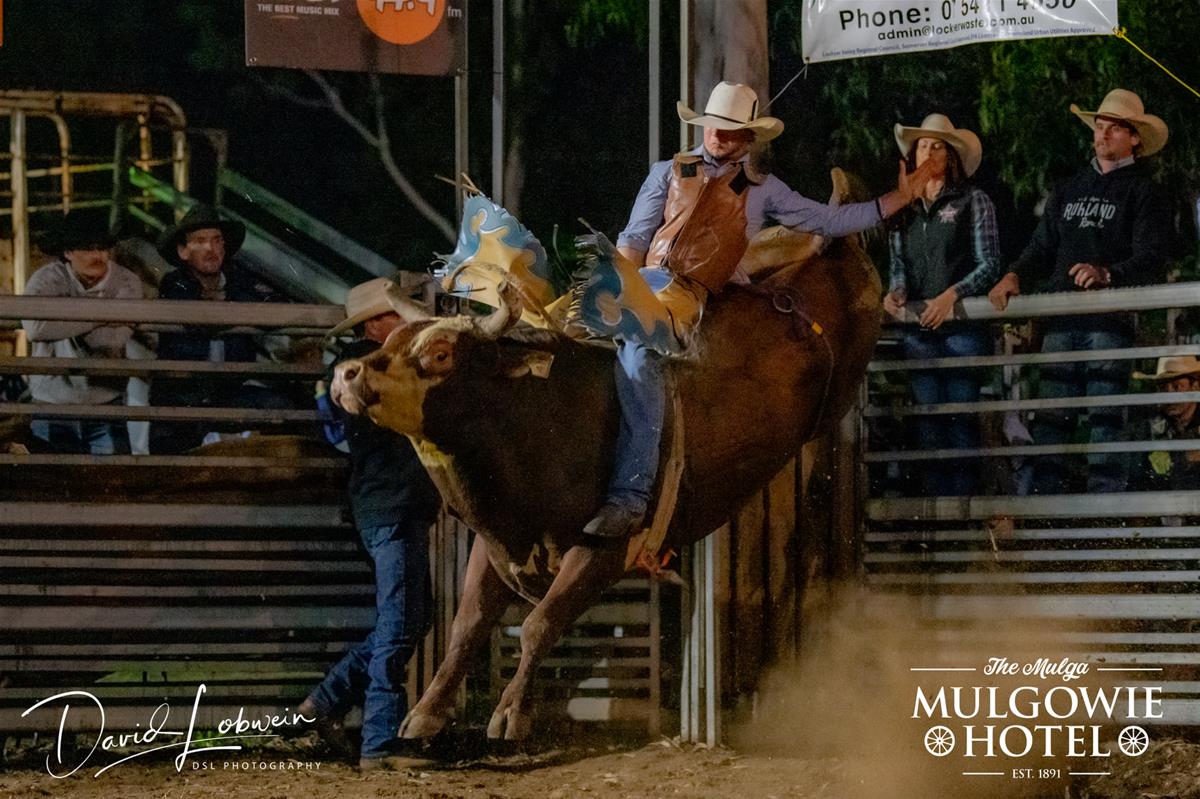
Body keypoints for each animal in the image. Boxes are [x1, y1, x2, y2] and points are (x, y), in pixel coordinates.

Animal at [330, 202, 882, 745]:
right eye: (393, 338)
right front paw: (425, 713)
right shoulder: (497, 545)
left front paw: (511, 714)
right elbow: (467, 626)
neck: (533, 416)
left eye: (440, 353)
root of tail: (829, 251)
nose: (346, 375)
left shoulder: (604, 548)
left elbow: (539, 623)